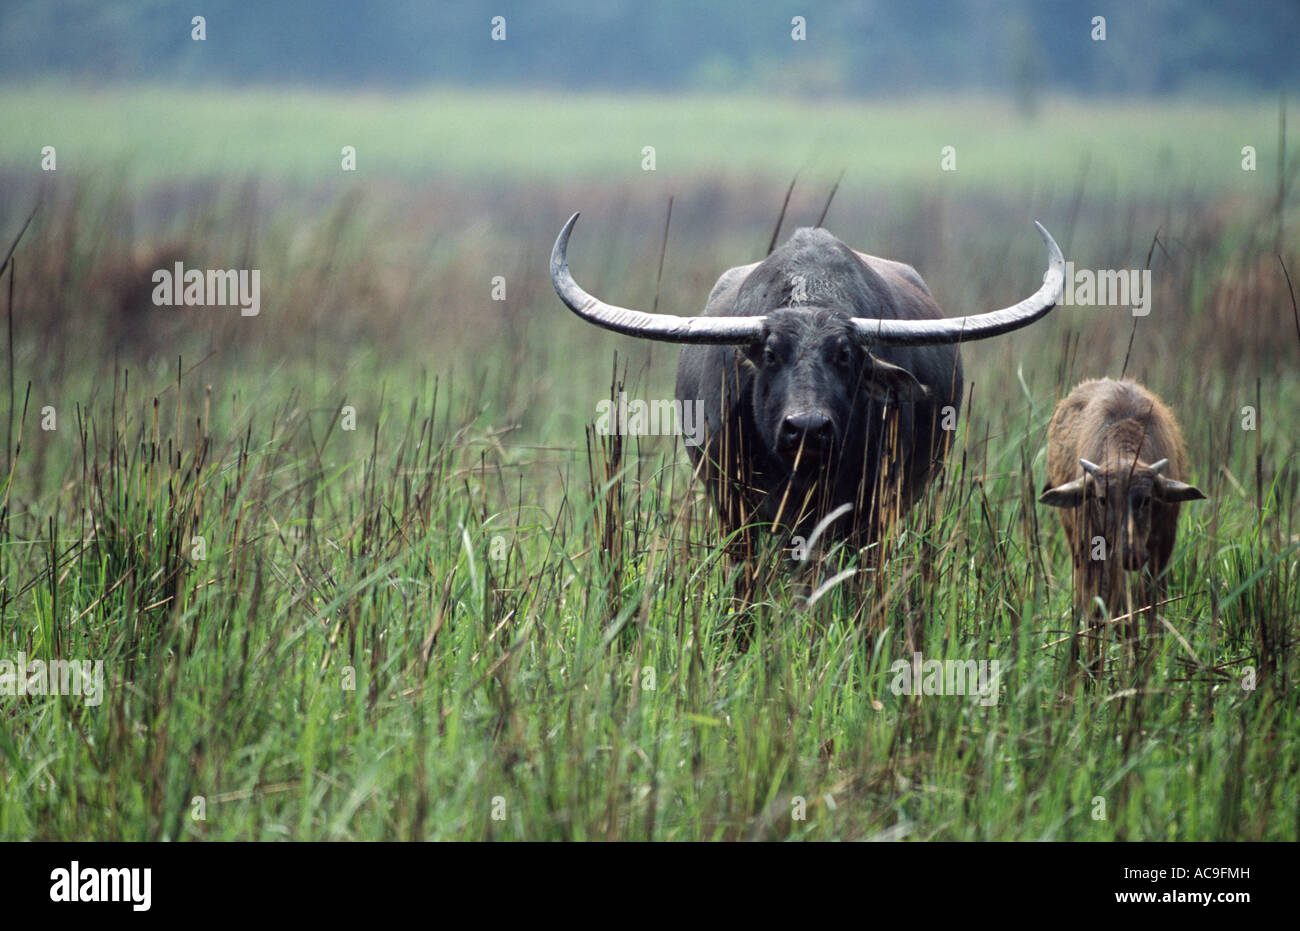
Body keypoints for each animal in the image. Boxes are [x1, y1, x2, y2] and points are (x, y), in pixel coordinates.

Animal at [1038, 378, 1206, 664]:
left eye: (1147, 499)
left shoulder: (1161, 549)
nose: (1131, 554)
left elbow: (1151, 606)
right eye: (1102, 499)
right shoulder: (1091, 550)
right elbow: (1095, 607)